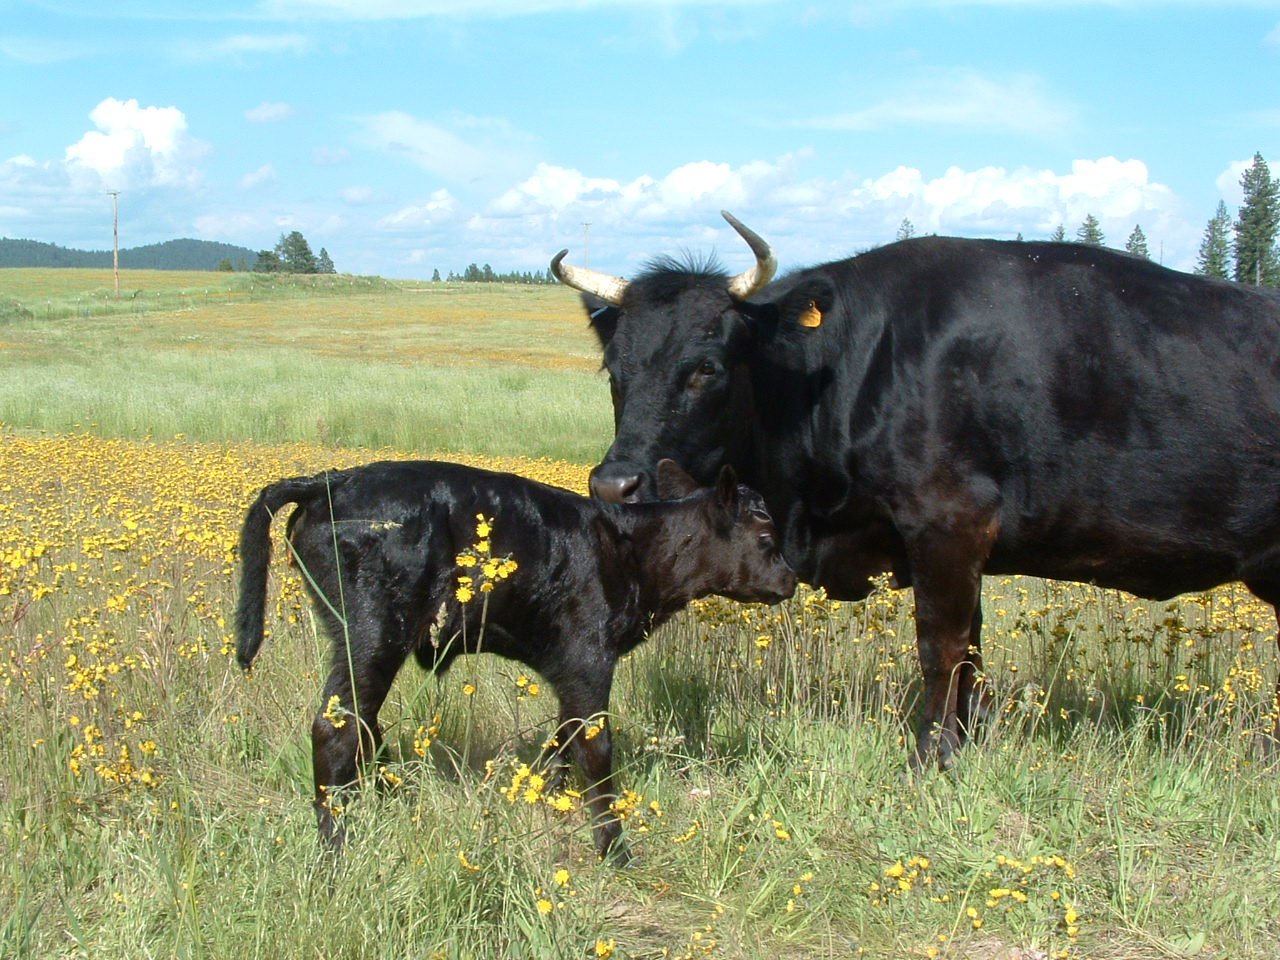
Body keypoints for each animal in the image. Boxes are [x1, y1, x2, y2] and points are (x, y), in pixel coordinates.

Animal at [234, 457, 795, 859]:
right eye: (767, 537)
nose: (791, 579)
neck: (633, 549)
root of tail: (330, 480)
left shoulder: (569, 671)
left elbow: (562, 739)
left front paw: (544, 801)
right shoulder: (588, 657)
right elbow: (595, 747)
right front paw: (614, 852)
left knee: (363, 726)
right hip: (372, 631)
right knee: (337, 727)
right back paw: (337, 848)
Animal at [550, 210, 1280, 770]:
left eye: (706, 368)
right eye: (613, 368)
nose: (615, 484)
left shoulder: (949, 523)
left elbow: (942, 647)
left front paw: (932, 755)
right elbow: (972, 654)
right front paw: (968, 742)